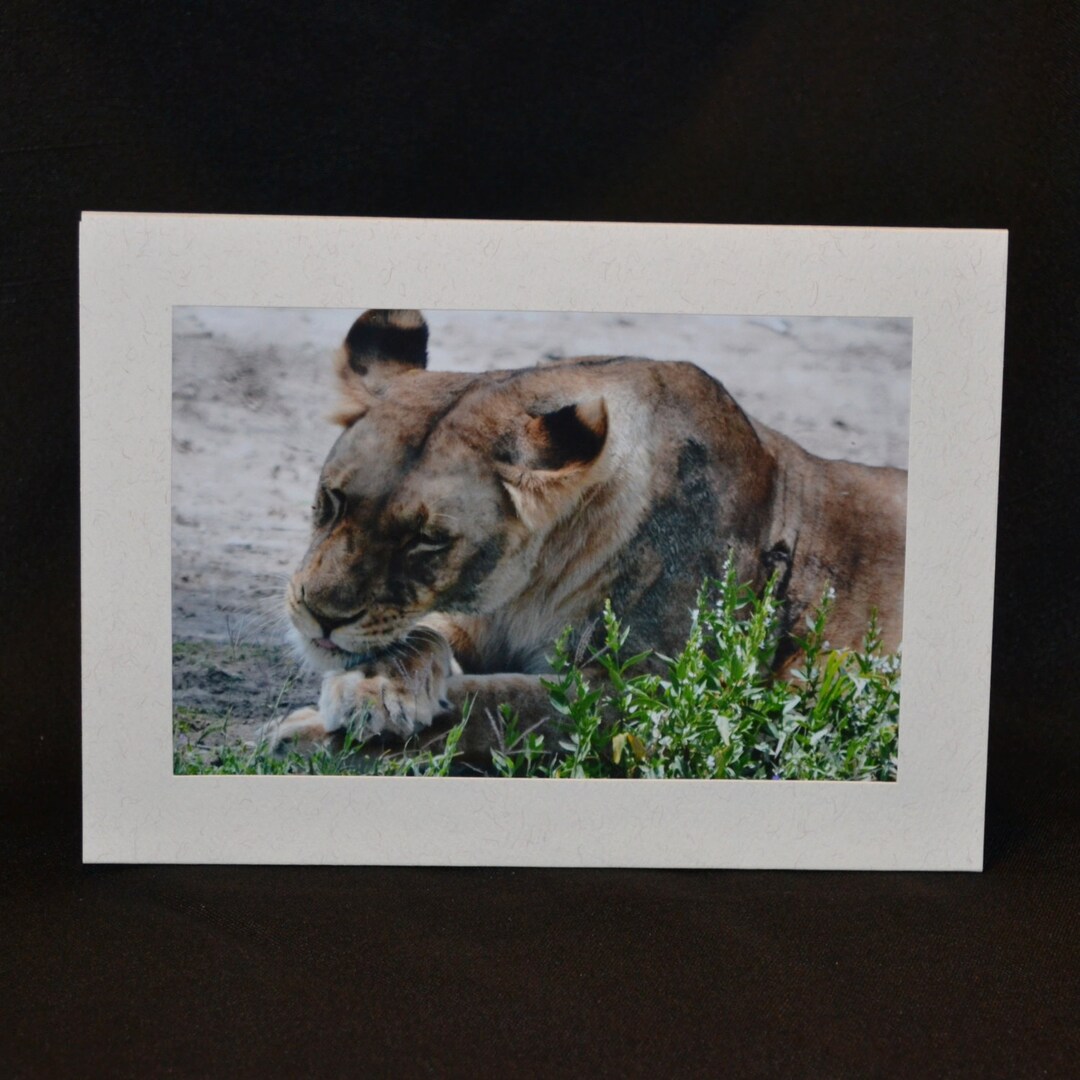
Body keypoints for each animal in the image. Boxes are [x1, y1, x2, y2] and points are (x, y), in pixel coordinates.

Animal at [270, 309, 907, 760]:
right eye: (332, 500)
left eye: (425, 540)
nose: (319, 616)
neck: (527, 587)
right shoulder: (480, 619)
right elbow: (425, 631)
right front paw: (373, 688)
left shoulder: (674, 694)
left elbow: (504, 702)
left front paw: (328, 728)